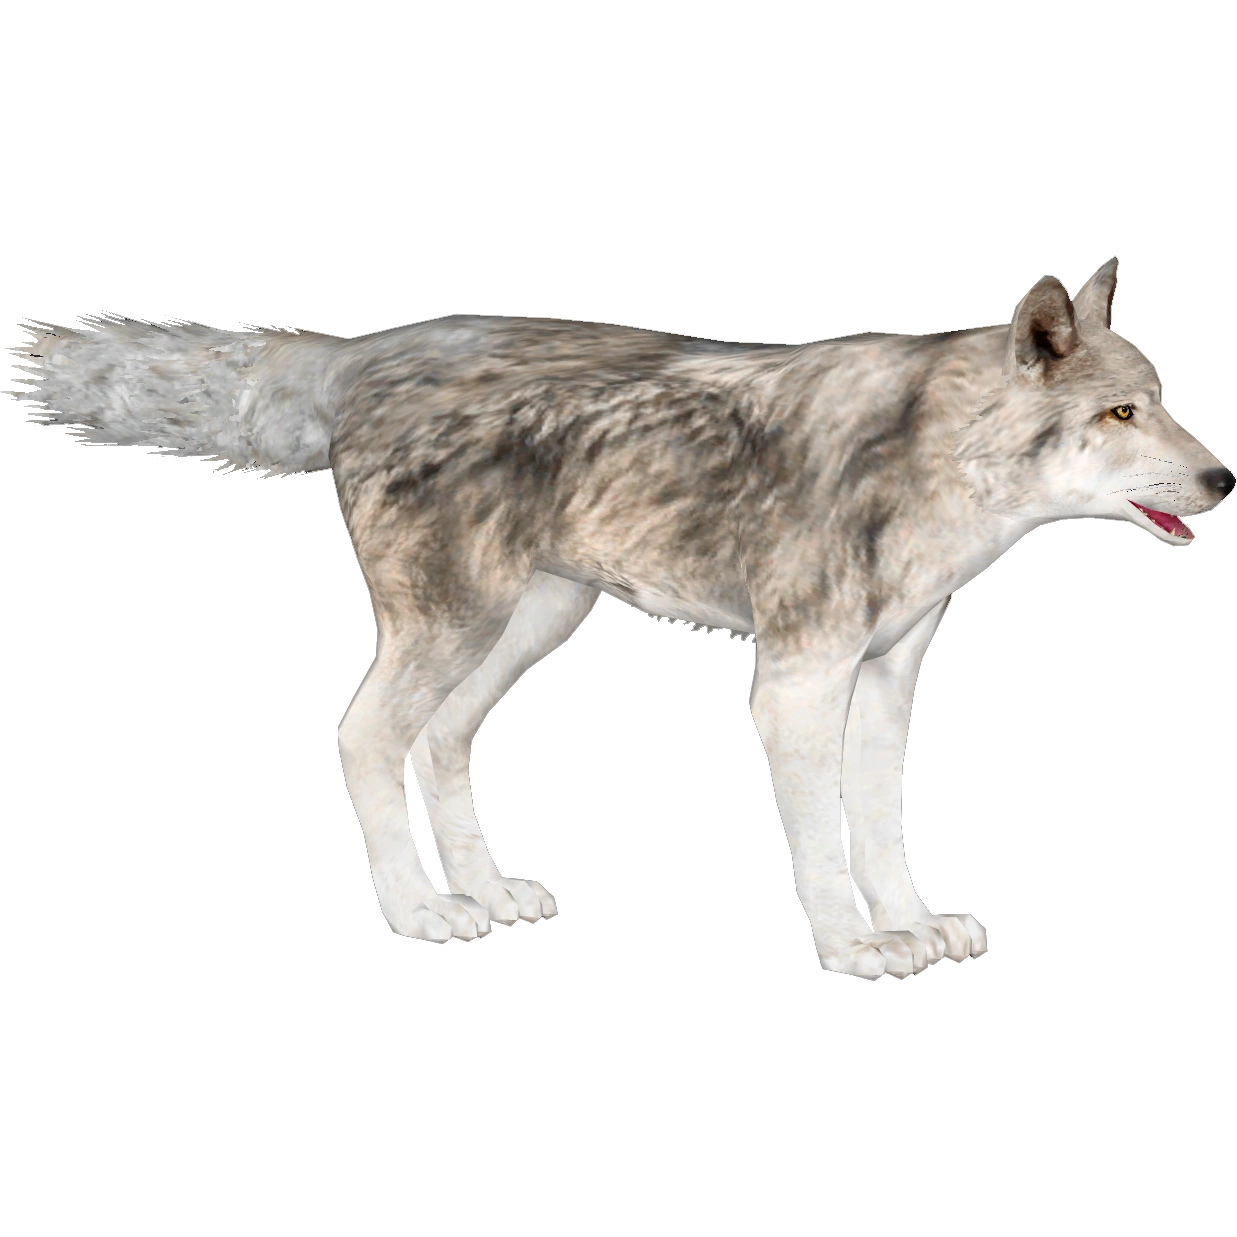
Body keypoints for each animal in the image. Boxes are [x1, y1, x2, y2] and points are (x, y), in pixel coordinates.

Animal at [8, 256, 1230, 978]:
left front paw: (913, 921)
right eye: (1119, 413)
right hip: (457, 628)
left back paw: (487, 891)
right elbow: (822, 840)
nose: (1222, 480)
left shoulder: (884, 680)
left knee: (438, 742)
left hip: (527, 626)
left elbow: (880, 827)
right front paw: (851, 946)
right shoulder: (794, 683)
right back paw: (417, 912)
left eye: (1162, 400)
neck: (935, 463)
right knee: (362, 737)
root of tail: (369, 352)